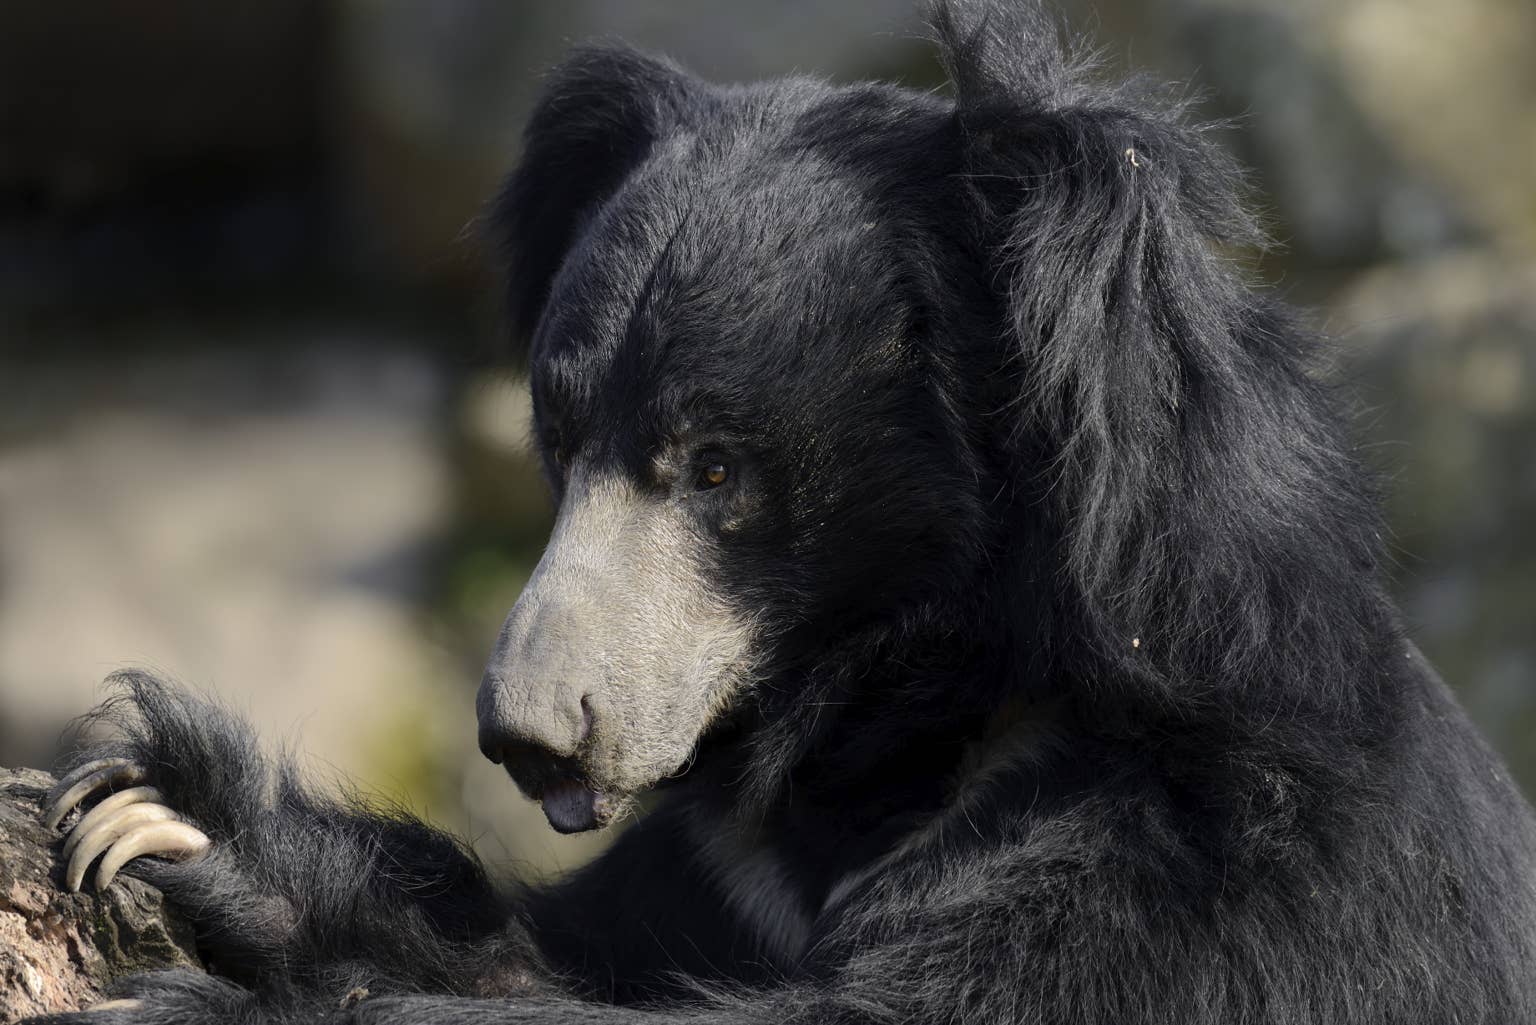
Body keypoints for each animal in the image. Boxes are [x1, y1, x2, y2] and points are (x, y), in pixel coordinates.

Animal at [27, 1, 1536, 1023]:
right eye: (560, 442)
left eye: (714, 467)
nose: (529, 733)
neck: (877, 748)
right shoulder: (712, 875)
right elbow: (564, 944)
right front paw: (164, 815)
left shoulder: (1185, 868)